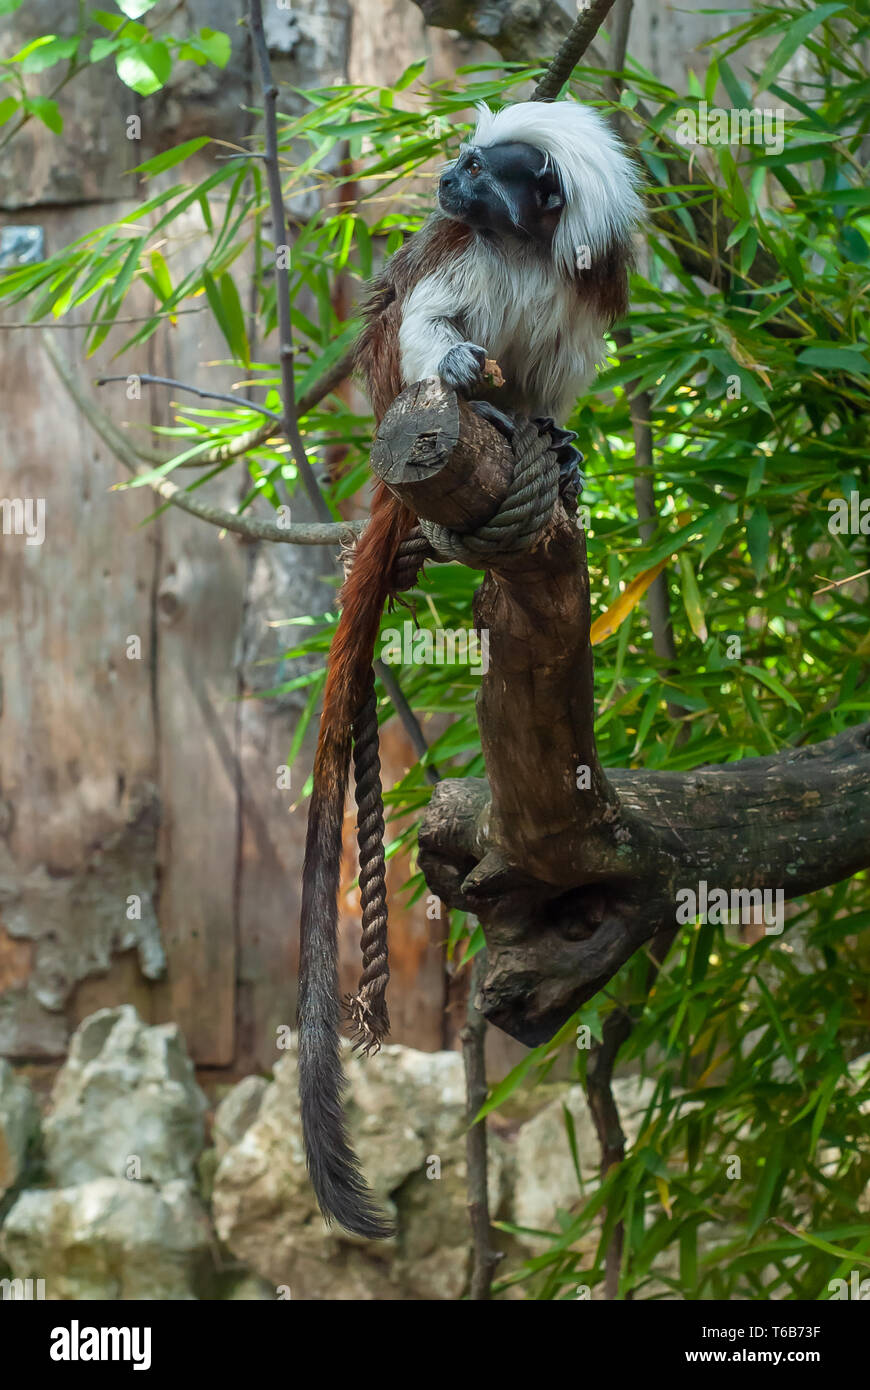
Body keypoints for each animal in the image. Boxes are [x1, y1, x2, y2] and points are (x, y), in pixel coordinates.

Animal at [298, 99, 643, 1239]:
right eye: (455, 165)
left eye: (483, 169)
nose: (446, 179)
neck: (530, 246)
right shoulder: (459, 258)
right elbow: (430, 322)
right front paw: (458, 377)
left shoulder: (588, 276)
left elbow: (565, 363)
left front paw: (555, 435)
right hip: (394, 413)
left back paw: (536, 439)